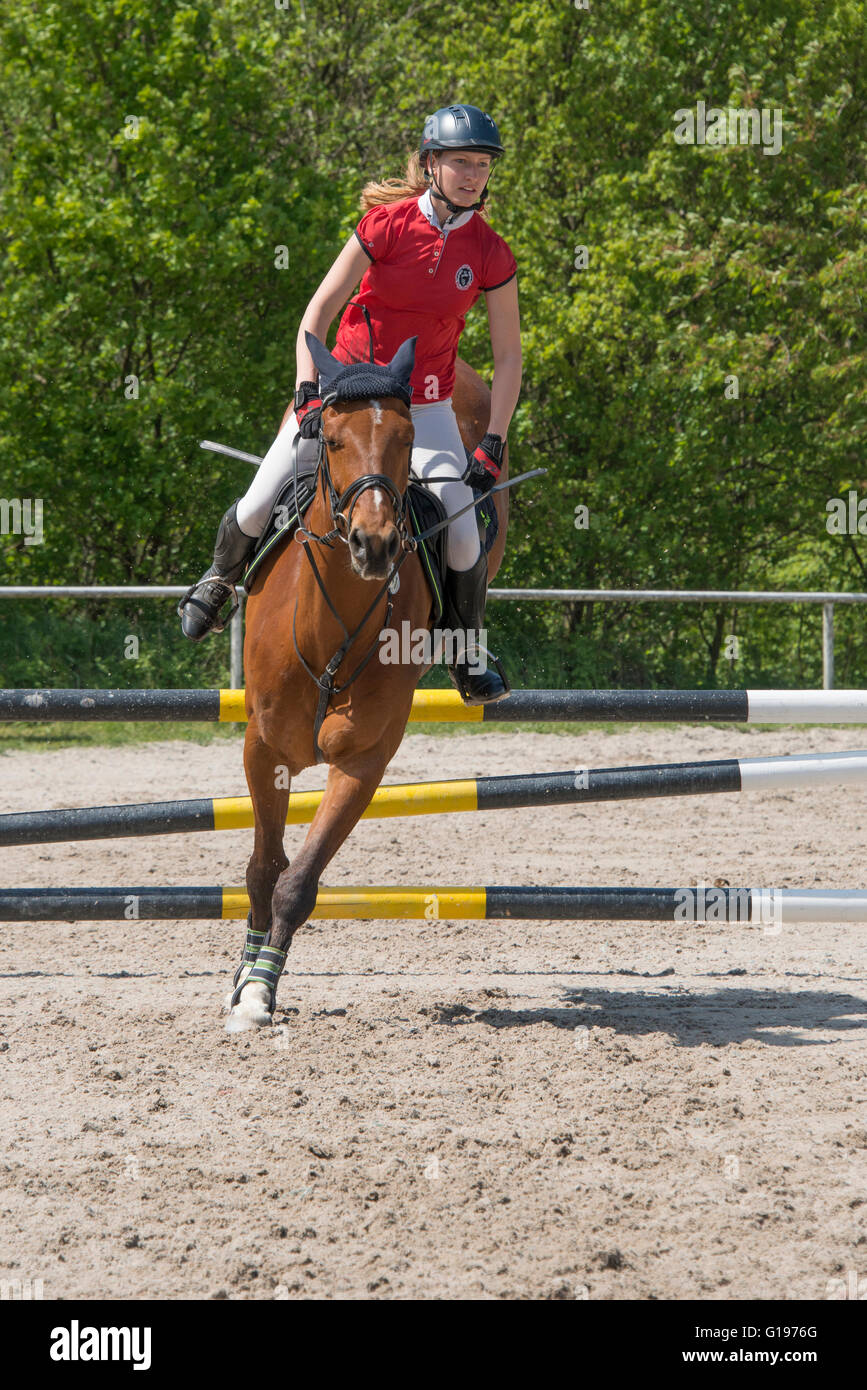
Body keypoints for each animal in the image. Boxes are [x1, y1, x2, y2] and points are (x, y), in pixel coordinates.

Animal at [226, 332, 510, 1029]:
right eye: (329, 438)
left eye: (405, 441)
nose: (373, 544)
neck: (329, 628)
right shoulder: (262, 748)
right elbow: (262, 867)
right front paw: (244, 981)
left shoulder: (363, 760)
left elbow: (298, 881)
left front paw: (261, 988)